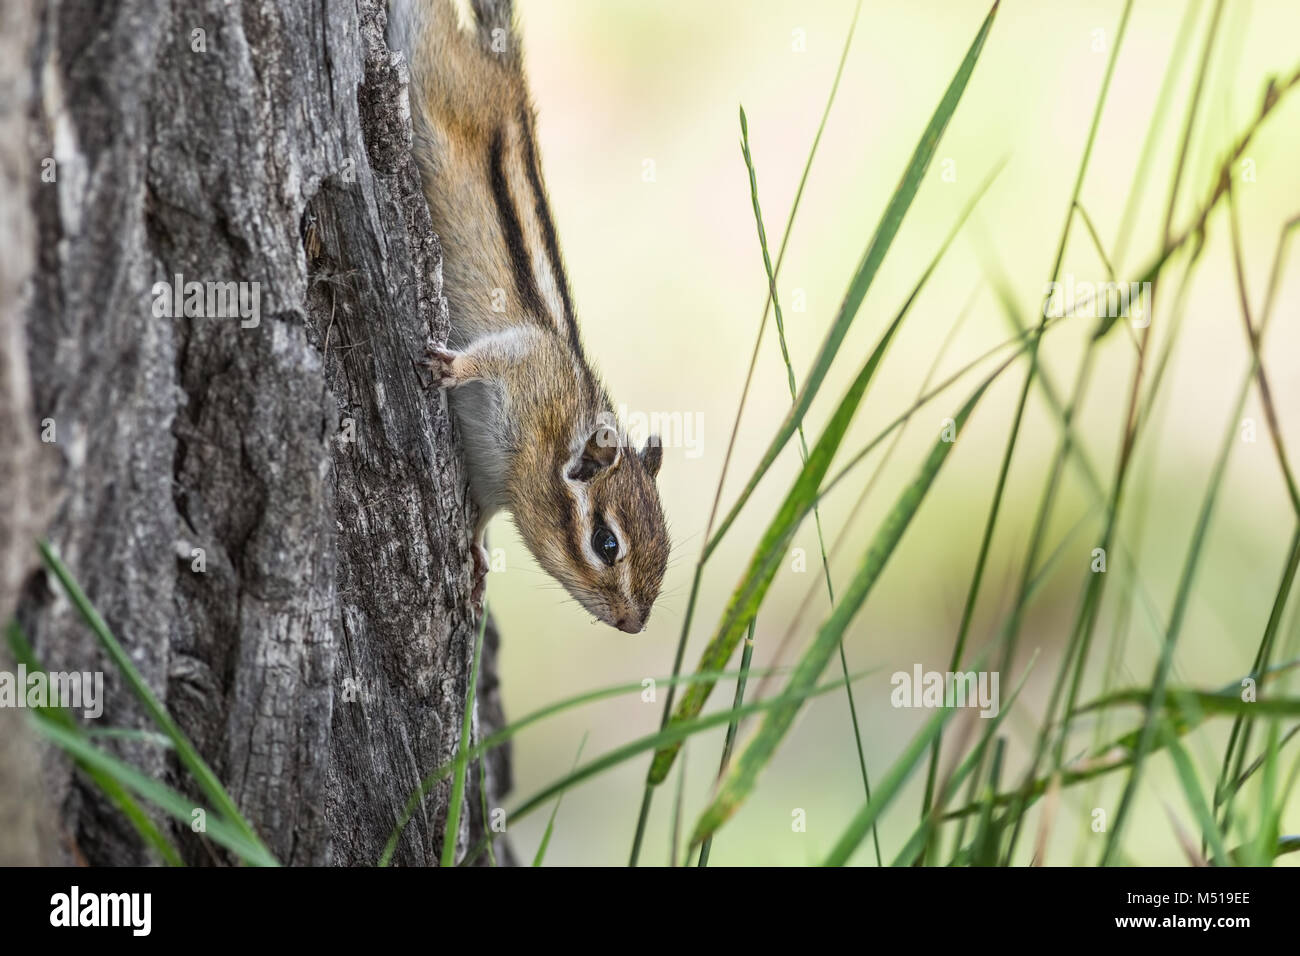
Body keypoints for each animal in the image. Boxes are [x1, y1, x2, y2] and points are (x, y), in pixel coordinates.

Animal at [389, 0, 669, 633]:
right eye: (607, 544)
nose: (633, 624)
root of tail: (507, 75)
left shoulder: (488, 480)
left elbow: (475, 519)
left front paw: (473, 560)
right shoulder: (531, 362)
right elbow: (498, 351)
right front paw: (451, 369)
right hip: (434, 78)